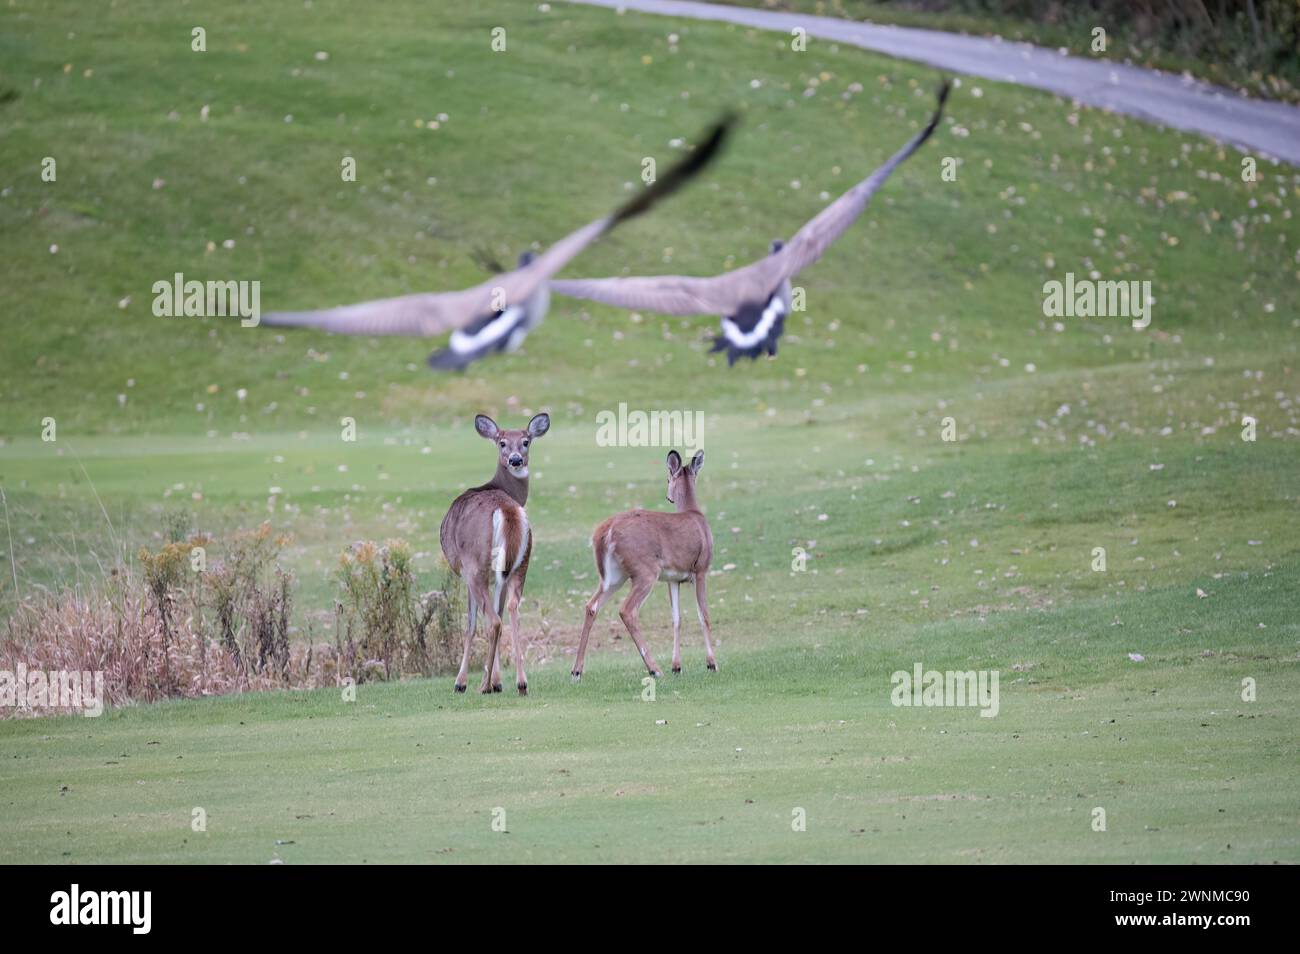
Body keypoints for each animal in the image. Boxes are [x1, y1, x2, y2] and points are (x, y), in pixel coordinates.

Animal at [439, 412, 549, 694]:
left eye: (526, 441)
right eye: (502, 442)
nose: (516, 459)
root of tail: (506, 508)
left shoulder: (467, 571)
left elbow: (470, 625)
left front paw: (463, 682)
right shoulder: (501, 573)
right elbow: (500, 610)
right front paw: (498, 680)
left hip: (475, 563)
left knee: (492, 621)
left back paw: (481, 686)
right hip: (522, 562)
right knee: (510, 608)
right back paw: (520, 682)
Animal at [571, 449, 716, 681]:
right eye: (667, 478)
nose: (668, 497)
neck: (694, 513)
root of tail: (605, 530)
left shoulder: (673, 578)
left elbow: (677, 619)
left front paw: (677, 666)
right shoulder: (701, 569)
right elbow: (704, 616)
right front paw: (712, 663)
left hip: (613, 576)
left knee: (591, 606)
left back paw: (576, 671)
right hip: (645, 572)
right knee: (627, 610)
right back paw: (654, 669)